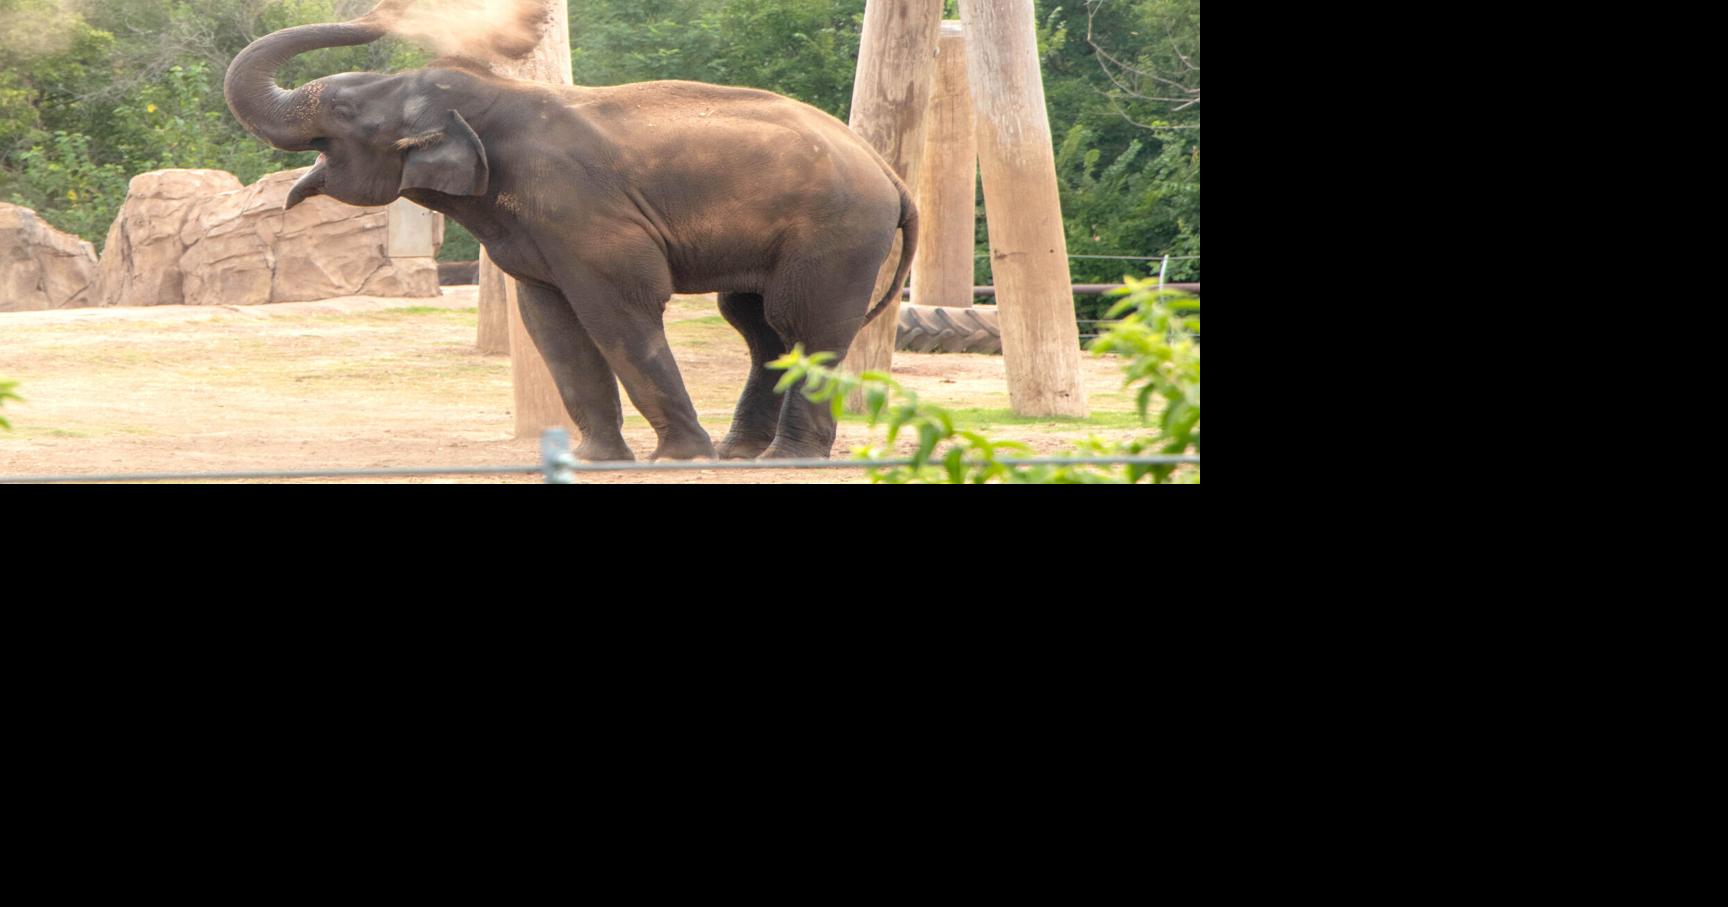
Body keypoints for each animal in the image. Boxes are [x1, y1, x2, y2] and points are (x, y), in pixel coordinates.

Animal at [224, 1, 915, 461]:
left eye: (342, 110)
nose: (383, 12)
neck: (492, 101)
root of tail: (886, 169)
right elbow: (550, 322)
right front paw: (594, 462)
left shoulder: (583, 211)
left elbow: (619, 313)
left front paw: (677, 459)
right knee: (758, 327)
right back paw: (739, 456)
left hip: (837, 233)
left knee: (803, 323)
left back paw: (783, 459)